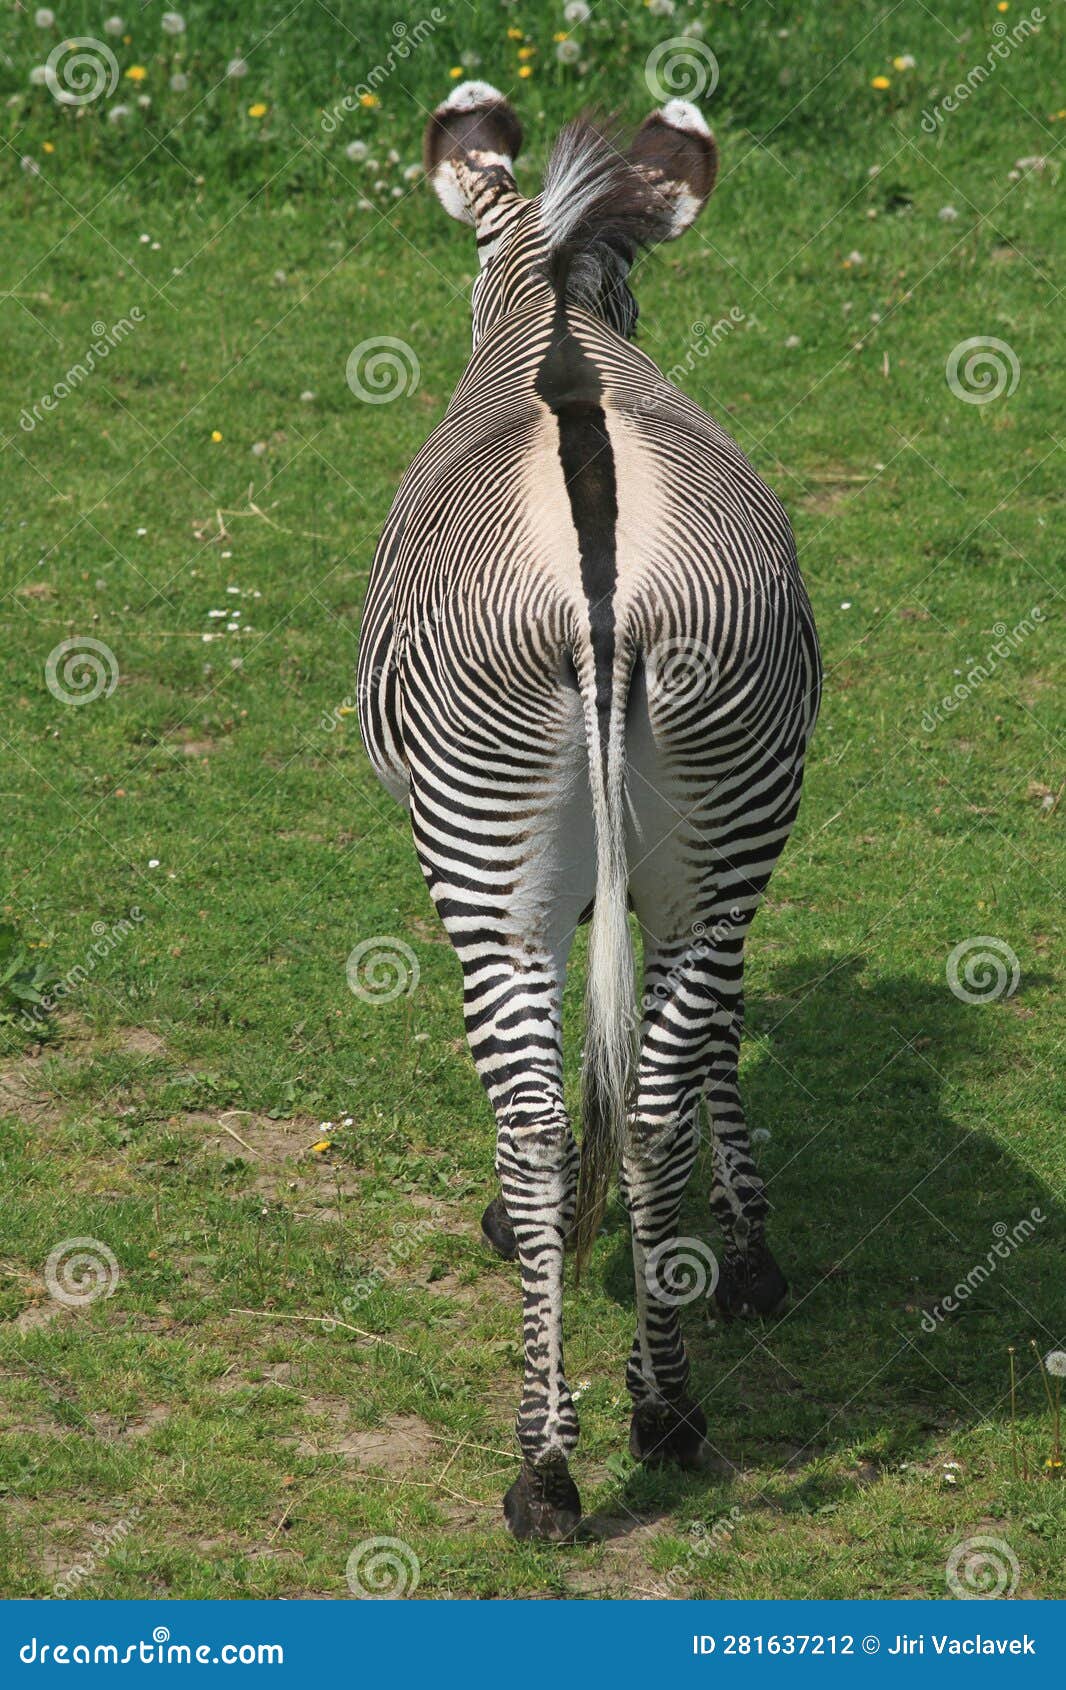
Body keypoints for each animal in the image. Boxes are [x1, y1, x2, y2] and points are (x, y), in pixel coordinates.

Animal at [357, 83, 821, 1541]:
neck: (552, 319)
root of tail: (604, 593)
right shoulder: (691, 876)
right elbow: (698, 1047)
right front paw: (746, 1250)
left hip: (484, 858)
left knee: (524, 1118)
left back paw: (545, 1460)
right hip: (715, 825)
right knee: (655, 1098)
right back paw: (659, 1410)